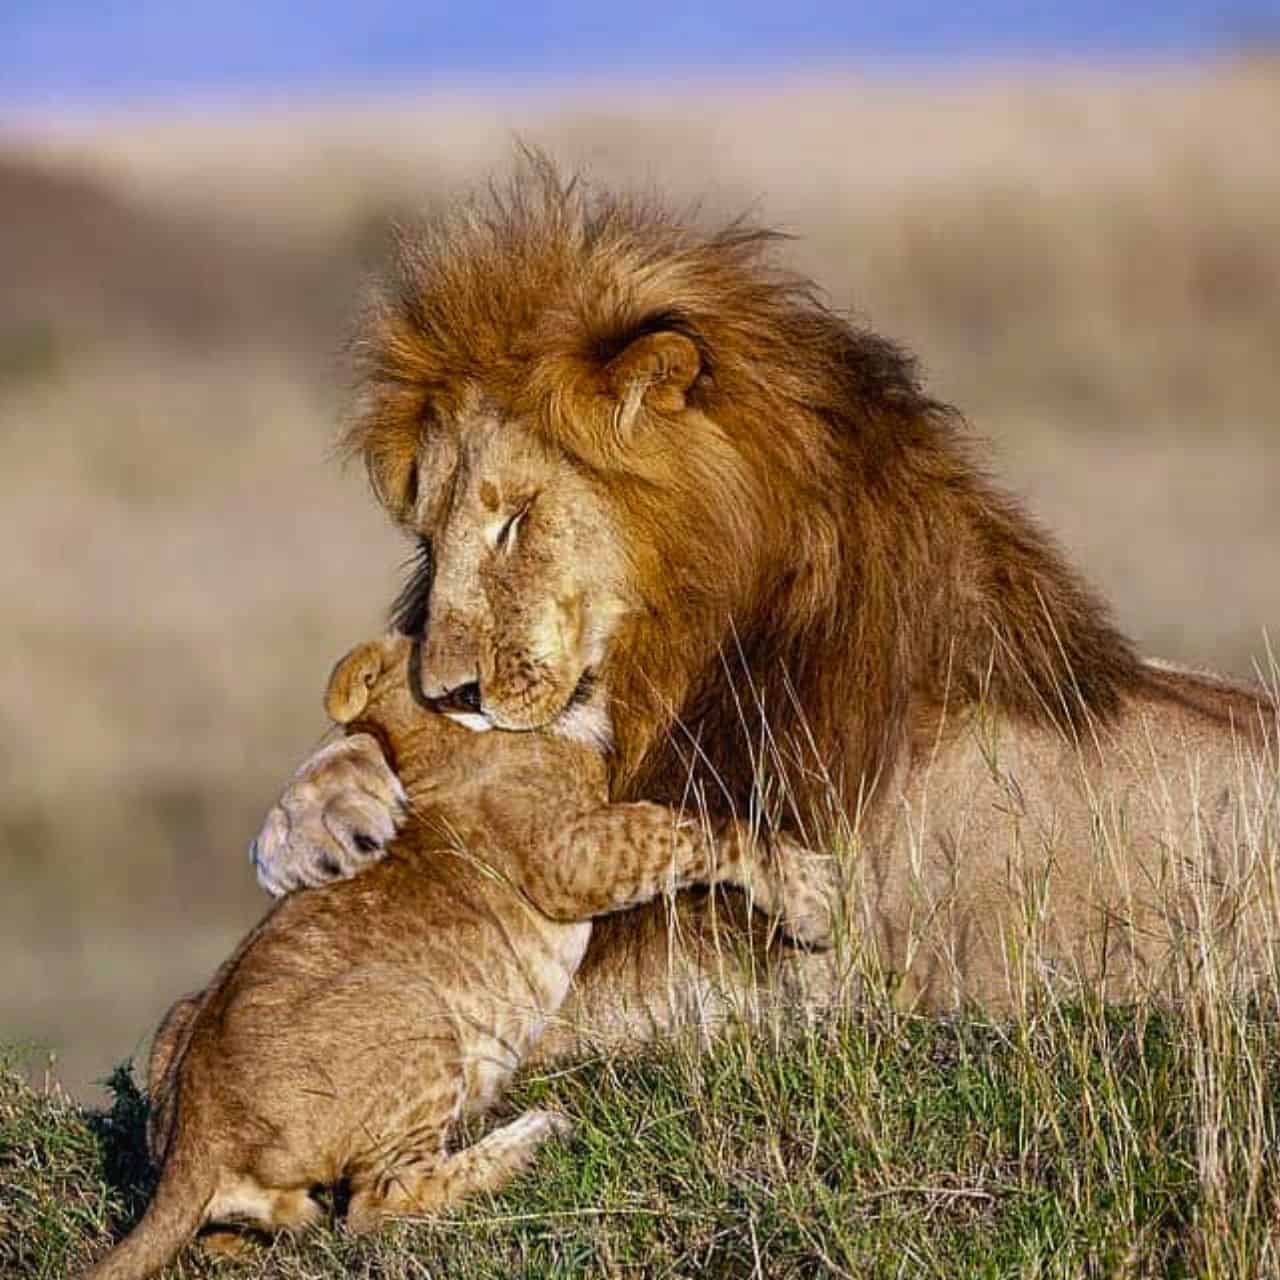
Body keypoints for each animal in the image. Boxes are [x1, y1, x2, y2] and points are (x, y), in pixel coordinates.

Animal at [86, 633, 835, 1280]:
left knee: (255, 1229)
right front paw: (811, 898)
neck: (439, 740)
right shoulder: (572, 857)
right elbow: (705, 829)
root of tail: (199, 1132)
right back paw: (533, 1135)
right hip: (413, 1011)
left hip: (183, 1027)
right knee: (380, 1206)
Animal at [252, 156, 1278, 1036]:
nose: (450, 692)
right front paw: (314, 822)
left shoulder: (768, 973)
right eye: (428, 539)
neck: (682, 661)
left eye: (514, 521)